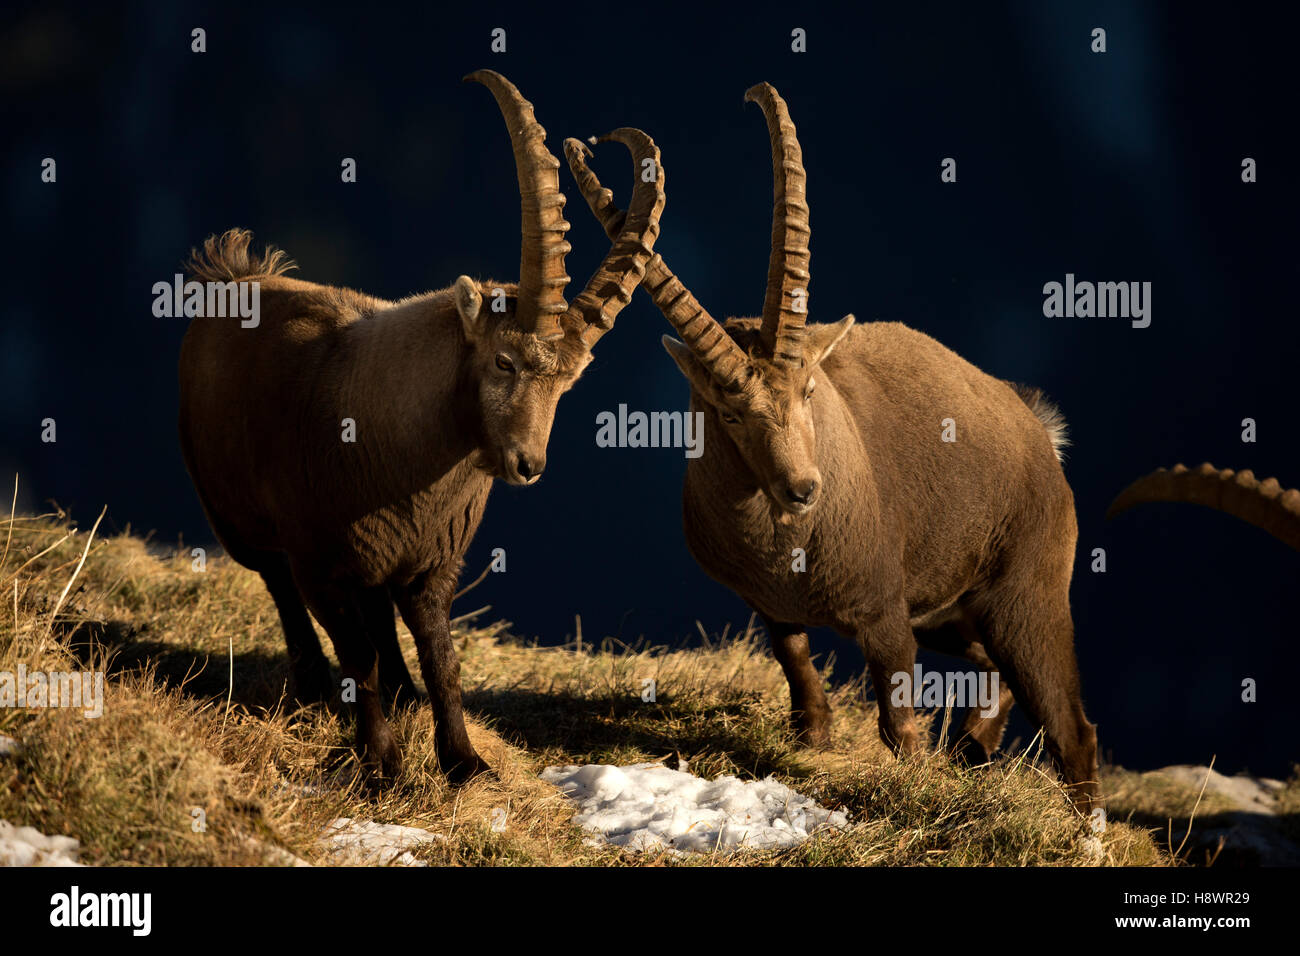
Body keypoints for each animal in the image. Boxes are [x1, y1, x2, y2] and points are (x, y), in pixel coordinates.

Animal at [177, 70, 665, 782]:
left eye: (569, 382)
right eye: (503, 360)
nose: (527, 465)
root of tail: (233, 274)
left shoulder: (434, 561)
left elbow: (442, 657)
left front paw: (463, 761)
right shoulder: (318, 559)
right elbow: (356, 656)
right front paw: (380, 764)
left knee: (379, 612)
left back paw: (401, 693)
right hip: (238, 520)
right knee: (280, 587)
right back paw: (314, 687)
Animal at [564, 84, 1099, 811]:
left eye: (810, 388)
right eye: (729, 411)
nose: (803, 488)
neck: (785, 546)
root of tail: (1040, 433)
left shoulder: (886, 613)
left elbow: (899, 722)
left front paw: (910, 781)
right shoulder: (772, 606)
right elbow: (793, 658)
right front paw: (812, 731)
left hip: (1024, 592)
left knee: (1071, 726)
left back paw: (1080, 818)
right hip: (955, 615)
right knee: (996, 673)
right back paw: (973, 748)